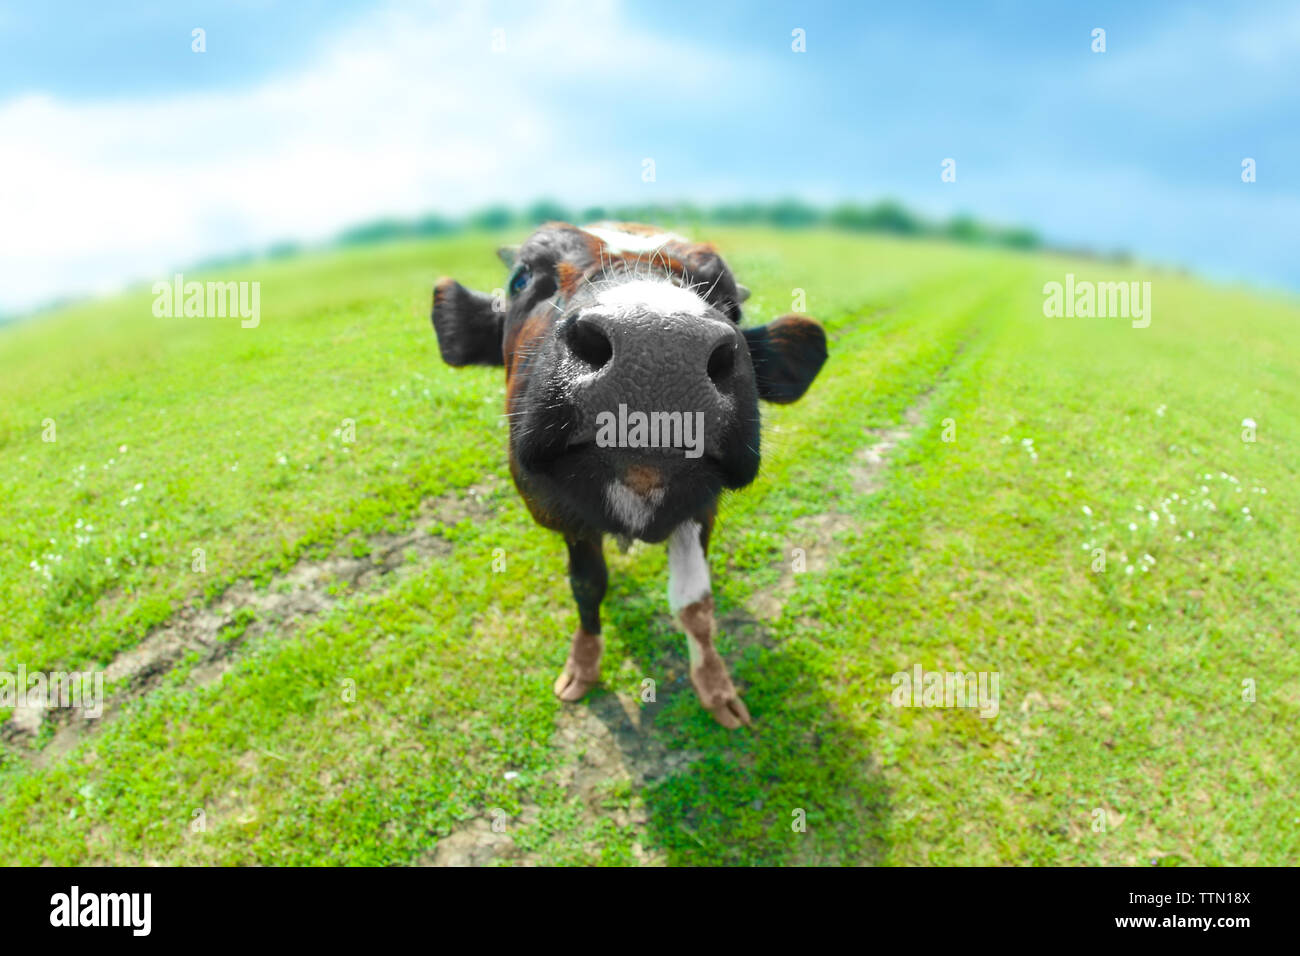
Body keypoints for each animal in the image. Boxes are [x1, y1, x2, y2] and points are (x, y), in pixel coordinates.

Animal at [431, 222, 827, 728]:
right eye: (522, 279)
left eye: (730, 301)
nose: (658, 348)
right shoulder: (564, 517)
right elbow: (587, 586)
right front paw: (583, 664)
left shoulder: (701, 509)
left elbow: (695, 603)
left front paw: (715, 687)